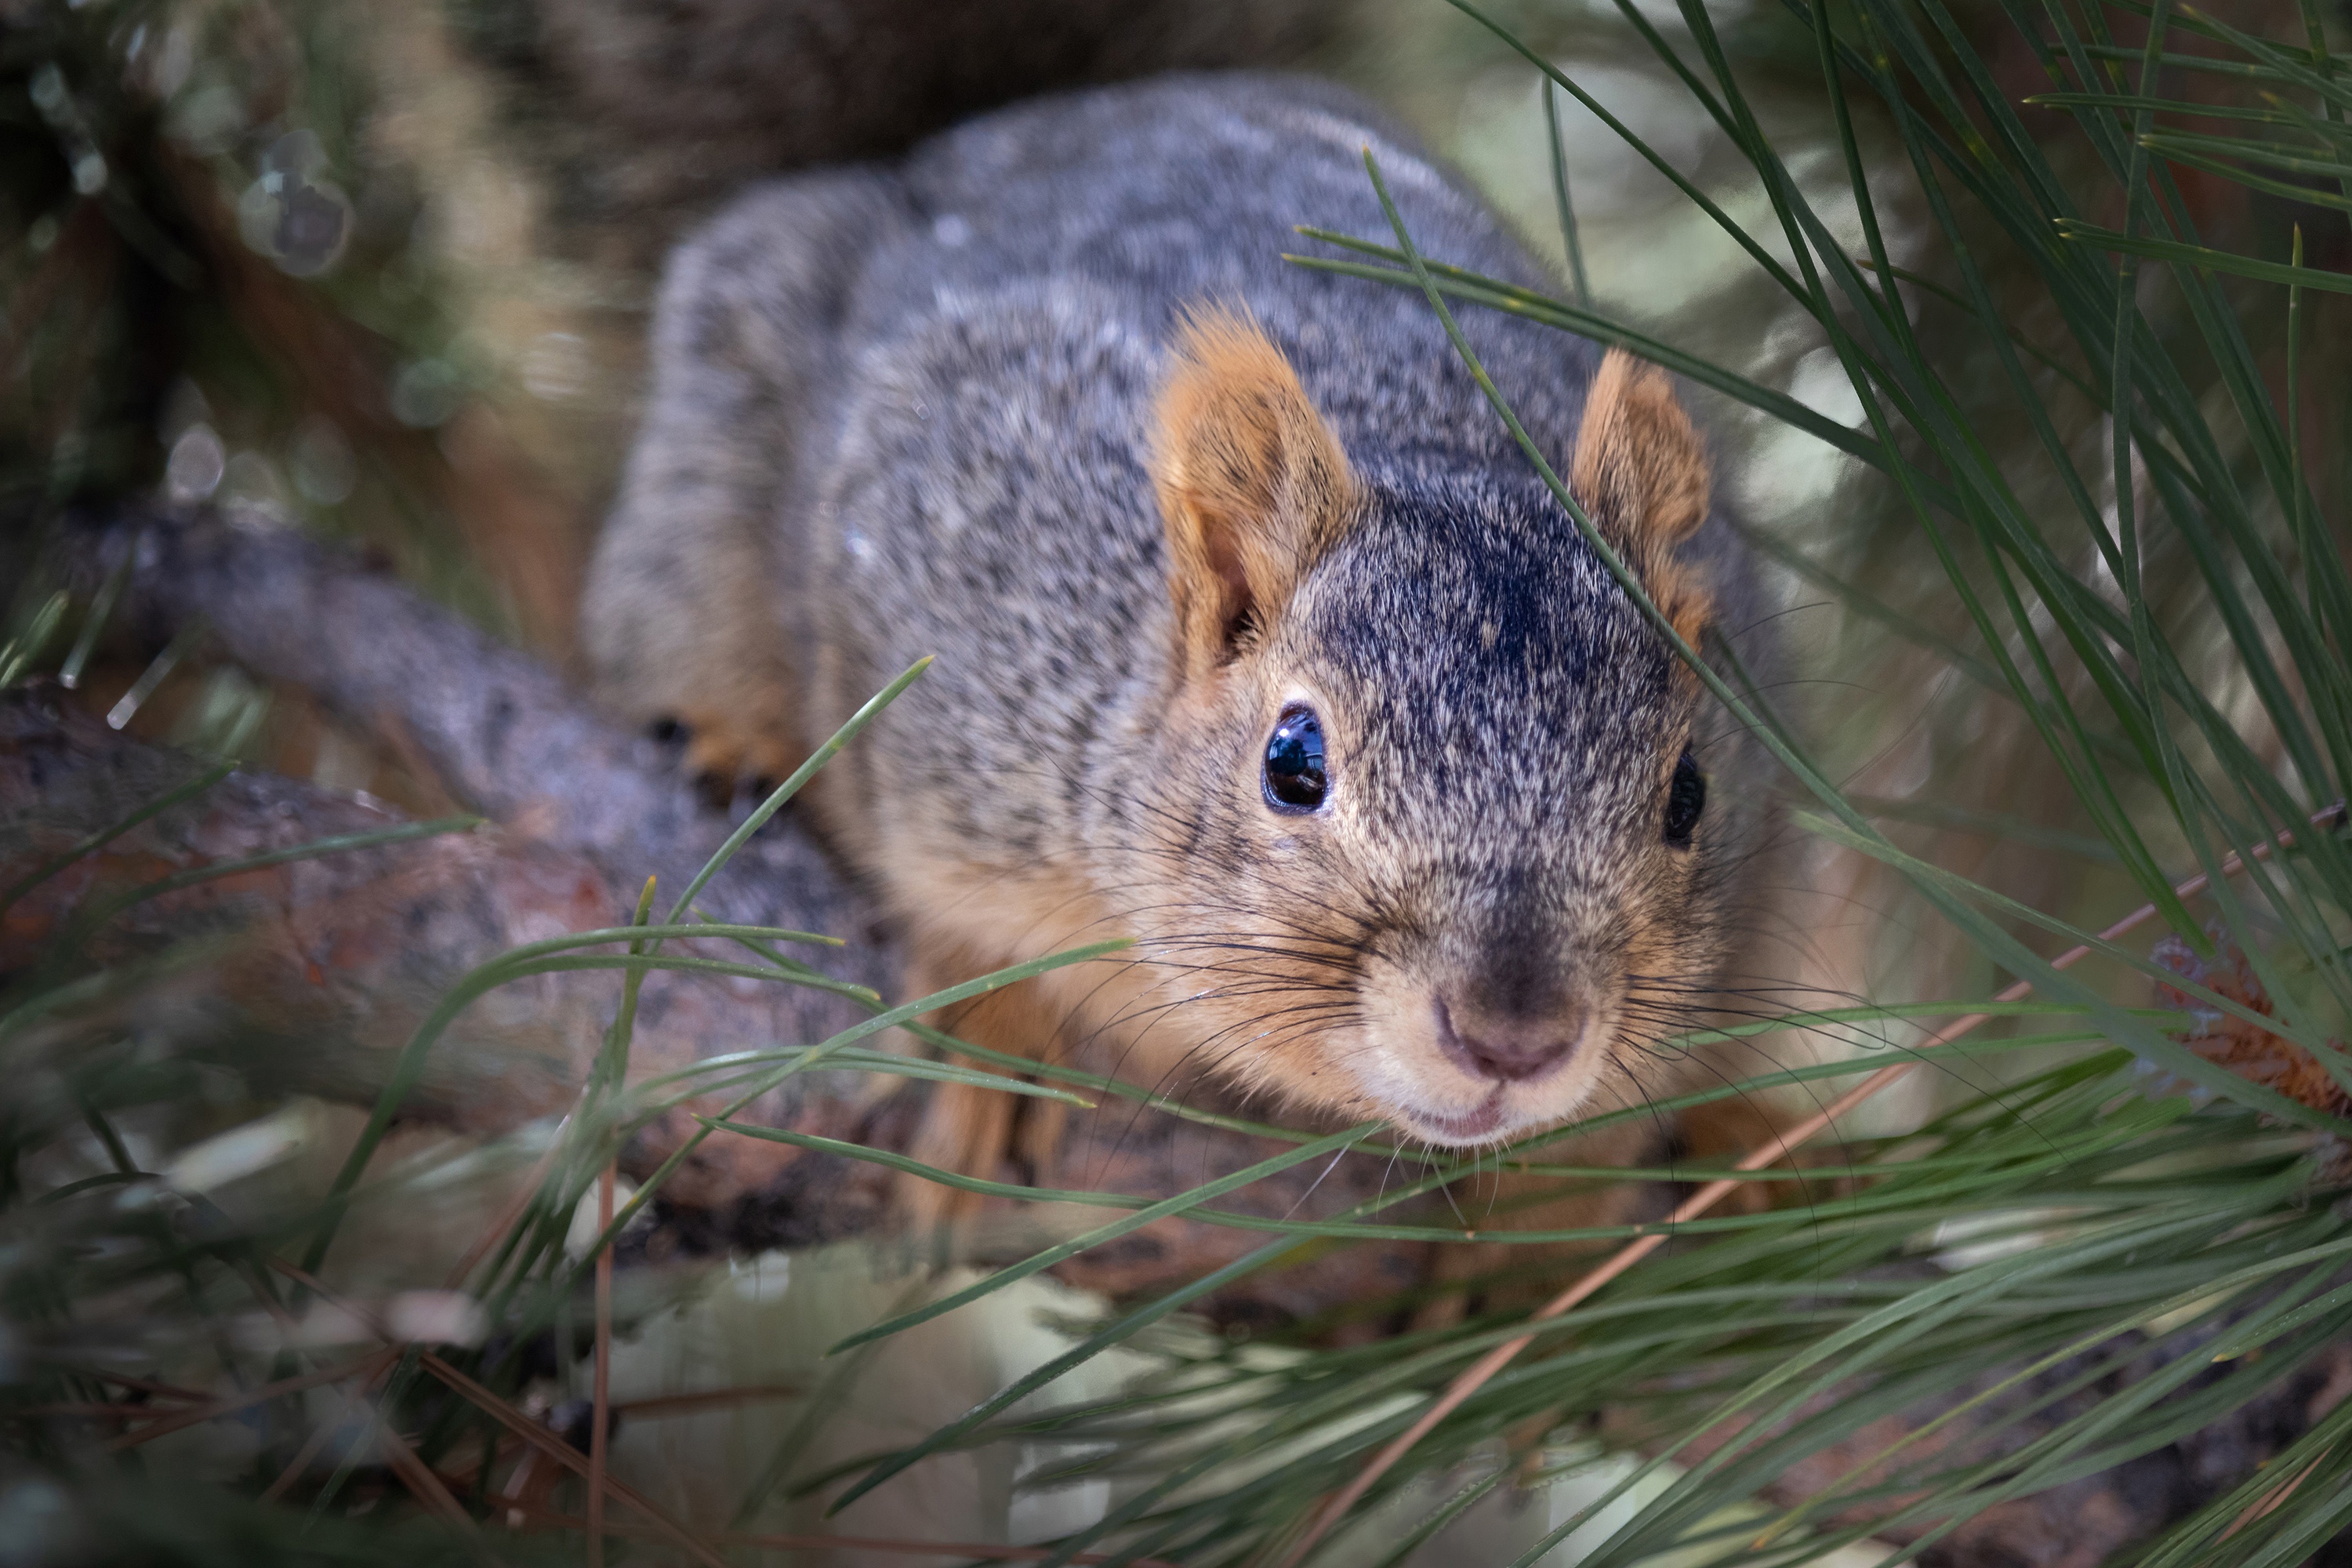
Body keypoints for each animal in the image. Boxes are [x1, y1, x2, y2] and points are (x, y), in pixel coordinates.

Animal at [581, 71, 1776, 1228]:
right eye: (1293, 763)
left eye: (1690, 794)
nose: (1513, 1038)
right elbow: (956, 914)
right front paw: (991, 1040)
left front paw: (1557, 1204)